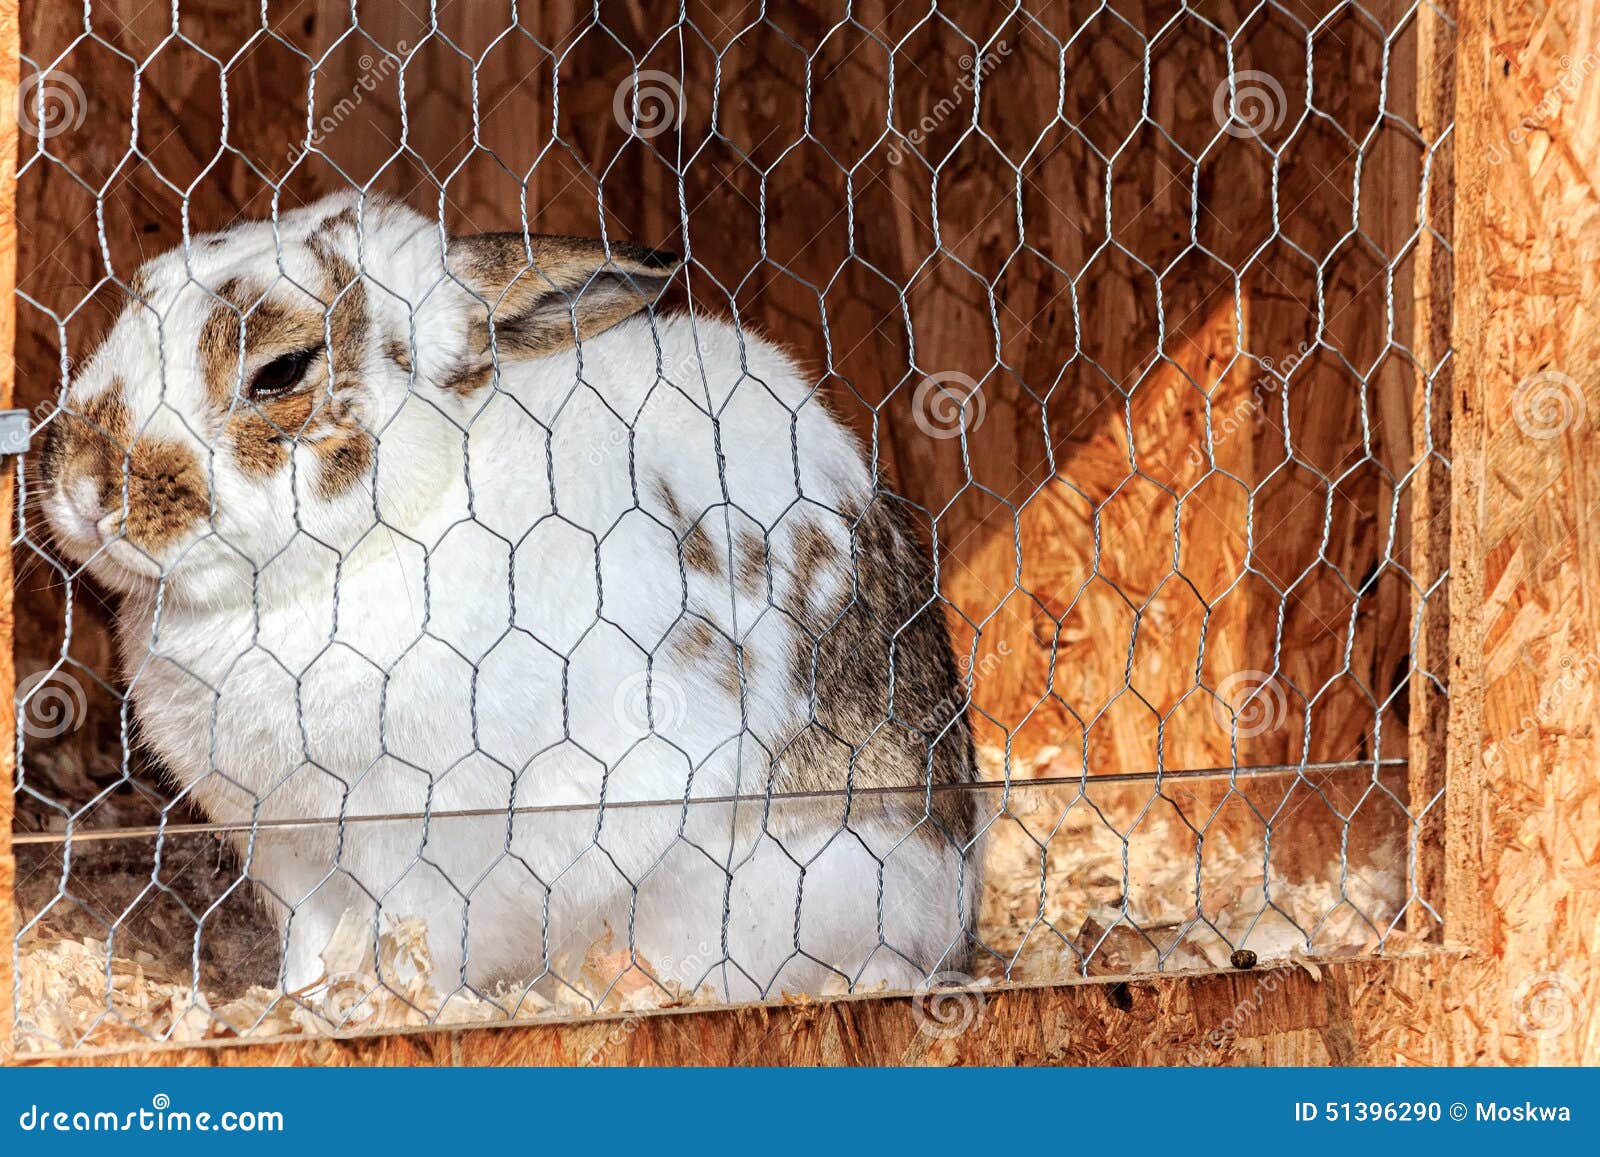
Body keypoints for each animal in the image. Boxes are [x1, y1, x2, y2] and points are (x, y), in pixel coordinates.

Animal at [37, 191, 980, 1008]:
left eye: (281, 369)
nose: (88, 486)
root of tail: (958, 893)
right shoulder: (291, 853)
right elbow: (310, 944)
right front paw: (298, 1005)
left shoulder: (430, 847)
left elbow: (414, 939)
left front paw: (382, 1005)